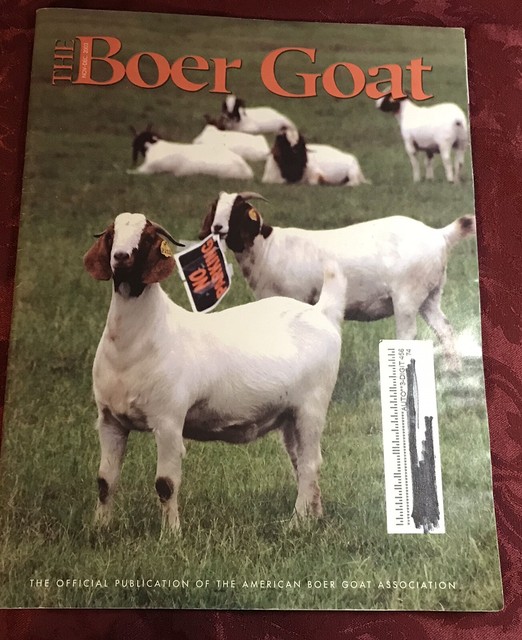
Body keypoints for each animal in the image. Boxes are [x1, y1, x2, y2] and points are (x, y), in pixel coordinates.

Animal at [83, 212, 345, 531]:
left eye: (146, 238)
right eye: (111, 235)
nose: (120, 257)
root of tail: (322, 312)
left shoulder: (168, 420)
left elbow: (165, 484)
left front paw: (171, 533)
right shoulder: (110, 420)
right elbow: (105, 481)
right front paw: (99, 527)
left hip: (312, 406)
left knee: (309, 464)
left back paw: (295, 523)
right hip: (289, 415)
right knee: (302, 461)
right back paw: (314, 516)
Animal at [200, 192, 477, 371]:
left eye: (236, 211)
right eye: (215, 208)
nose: (217, 228)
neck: (267, 248)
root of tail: (439, 235)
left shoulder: (296, 297)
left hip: (407, 295)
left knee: (408, 334)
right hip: (430, 294)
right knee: (445, 329)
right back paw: (454, 371)